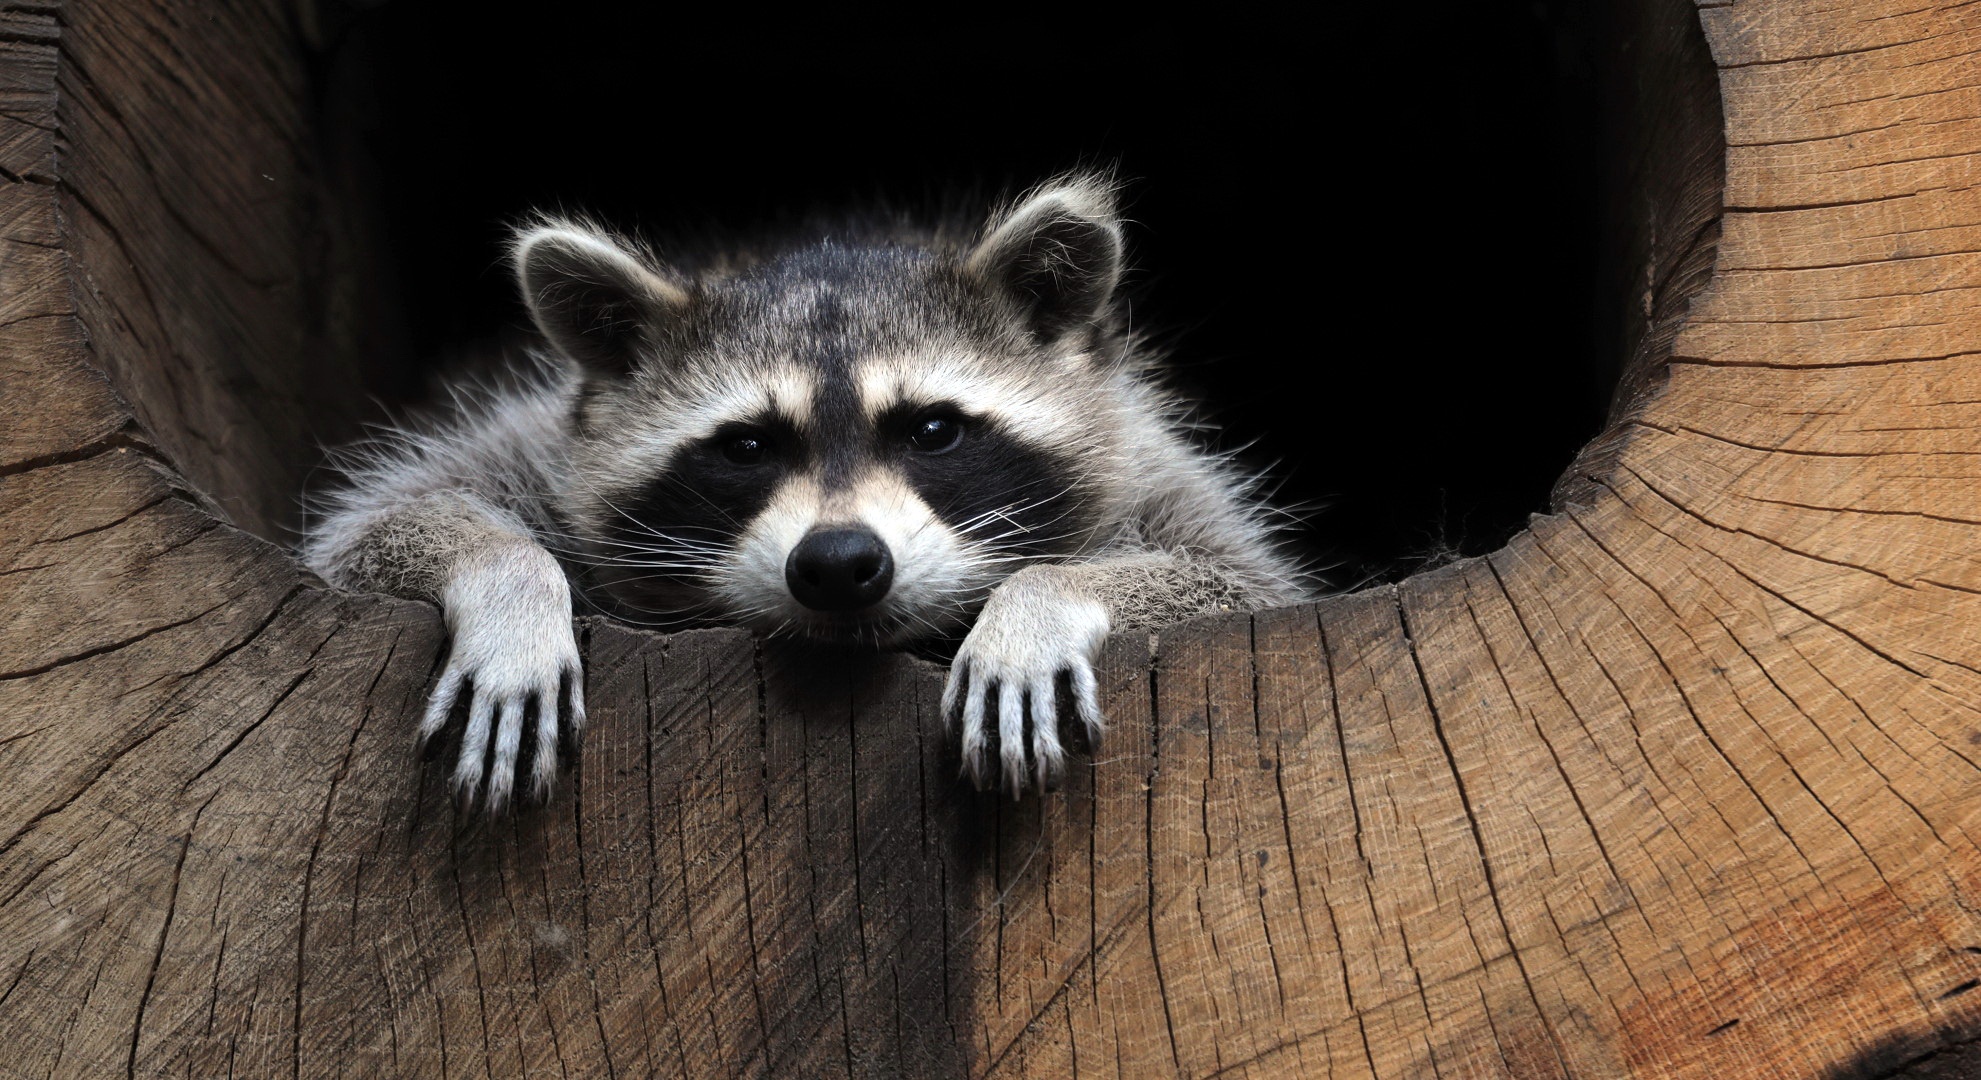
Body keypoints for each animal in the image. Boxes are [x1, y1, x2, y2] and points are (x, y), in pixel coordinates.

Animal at [304, 175, 1310, 813]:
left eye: (932, 430)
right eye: (746, 447)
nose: (837, 563)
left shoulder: (1151, 459)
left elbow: (1241, 582)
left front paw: (1043, 598)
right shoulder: (532, 443)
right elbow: (370, 531)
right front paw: (509, 581)